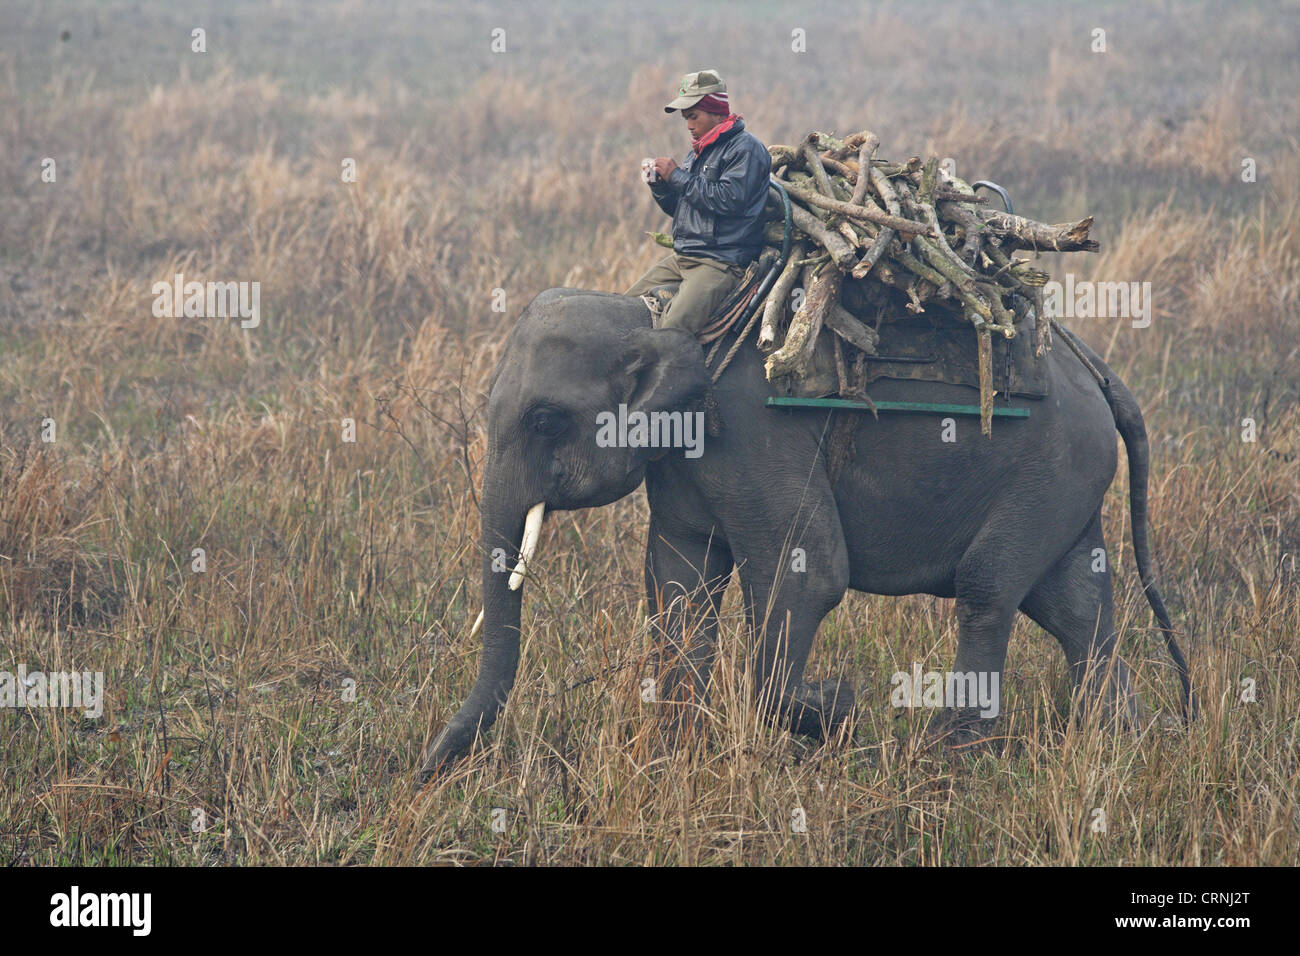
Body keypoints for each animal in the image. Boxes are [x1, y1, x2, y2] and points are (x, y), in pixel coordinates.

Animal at [416, 286, 1193, 780]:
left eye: (546, 419)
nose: (421, 771)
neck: (662, 318)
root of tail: (1099, 370)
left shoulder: (754, 435)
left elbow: (808, 573)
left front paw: (838, 714)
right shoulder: (682, 460)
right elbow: (678, 583)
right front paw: (673, 757)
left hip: (1047, 470)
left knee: (988, 591)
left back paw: (948, 761)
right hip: (1065, 485)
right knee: (1076, 606)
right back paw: (1130, 746)